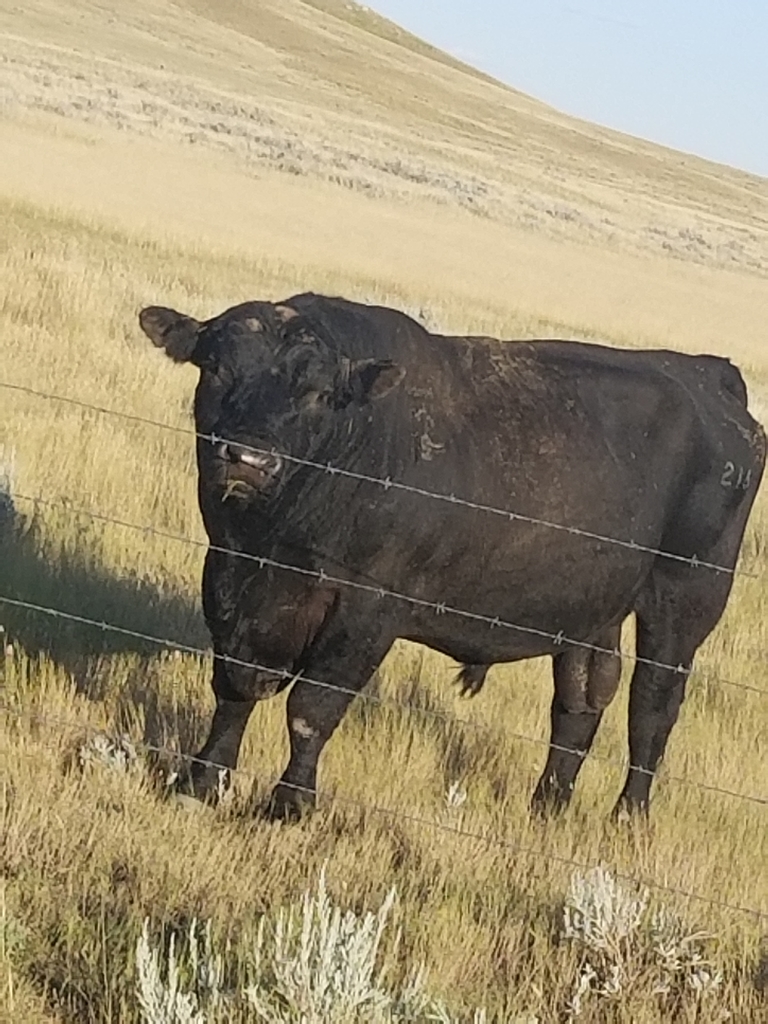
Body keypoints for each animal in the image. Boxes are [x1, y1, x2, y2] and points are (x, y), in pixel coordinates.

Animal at [139, 293, 765, 821]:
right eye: (218, 368)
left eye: (316, 392)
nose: (247, 458)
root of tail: (709, 374)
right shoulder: (229, 574)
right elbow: (234, 687)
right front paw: (201, 782)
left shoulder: (367, 612)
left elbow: (312, 709)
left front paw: (289, 805)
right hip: (594, 611)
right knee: (581, 702)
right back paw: (547, 806)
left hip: (683, 604)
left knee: (652, 708)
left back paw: (628, 816)